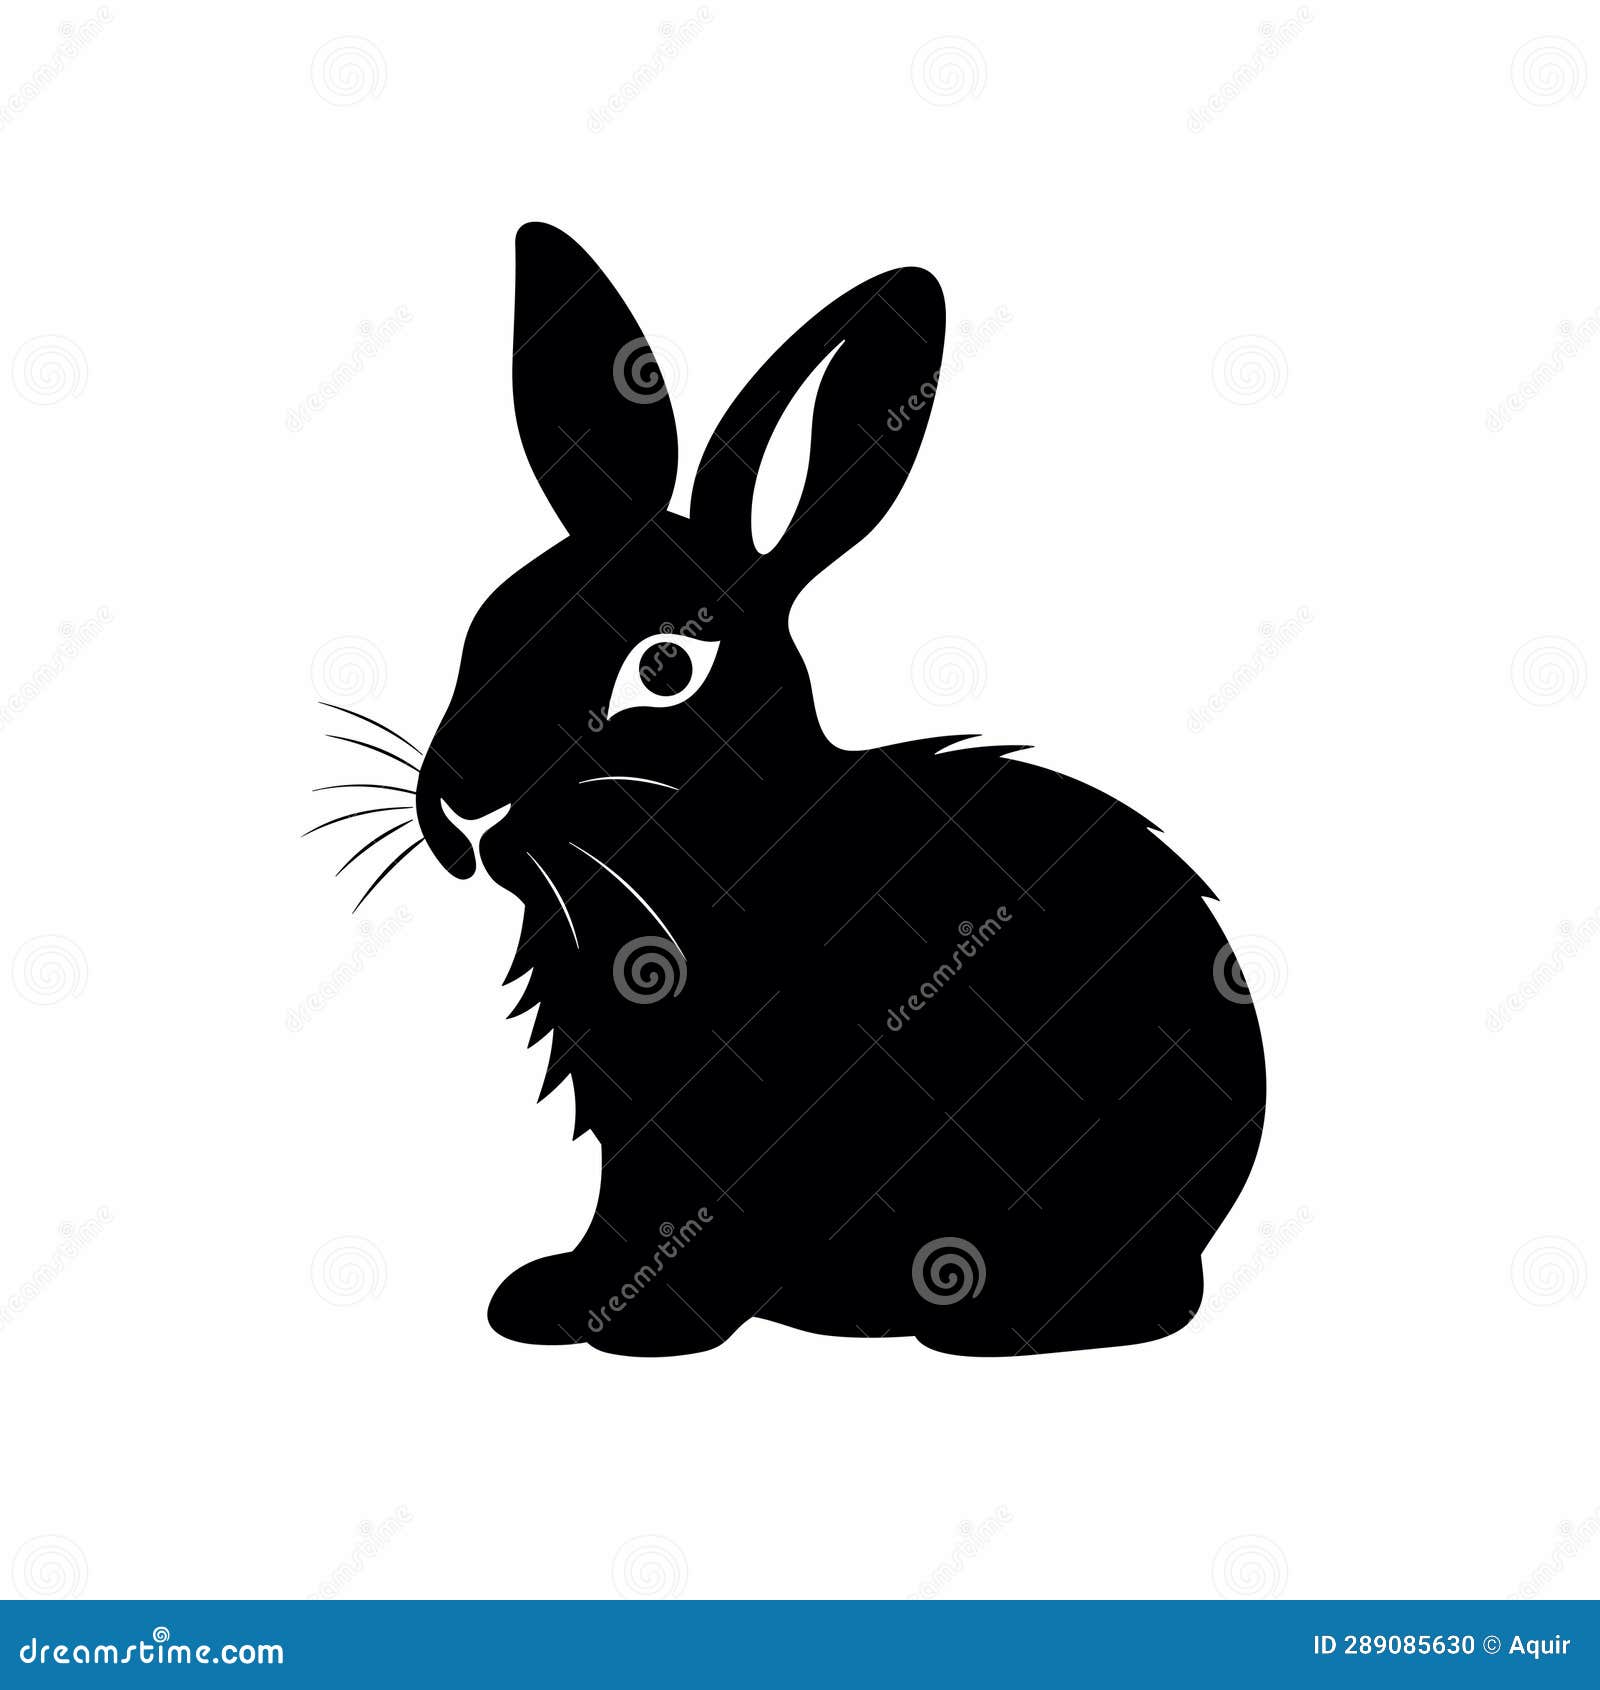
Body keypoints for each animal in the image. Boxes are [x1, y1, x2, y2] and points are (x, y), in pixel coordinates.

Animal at [381, 223, 1266, 1355]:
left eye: (663, 667)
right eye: (488, 621)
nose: (466, 803)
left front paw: (641, 1324)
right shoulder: (636, 1135)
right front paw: (552, 1299)